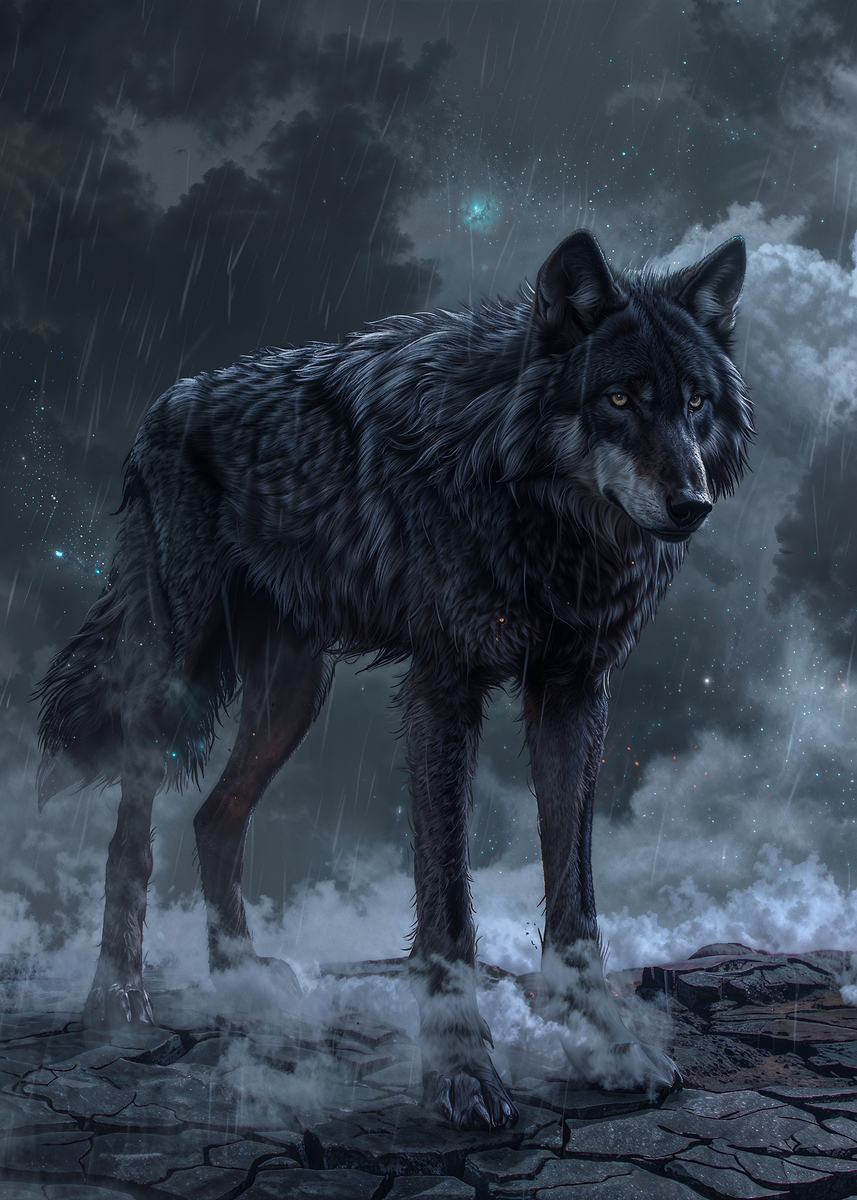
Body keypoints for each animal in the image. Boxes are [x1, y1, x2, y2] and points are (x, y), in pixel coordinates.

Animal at [37, 228, 751, 1130]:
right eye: (620, 399)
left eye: (695, 403)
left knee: (212, 817)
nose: (691, 502)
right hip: (179, 682)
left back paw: (241, 979)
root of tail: (159, 406)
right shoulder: (443, 688)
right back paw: (117, 996)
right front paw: (460, 1072)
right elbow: (447, 910)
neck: (537, 514)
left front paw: (608, 1048)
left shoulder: (572, 692)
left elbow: (576, 903)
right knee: (131, 832)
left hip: (293, 698)